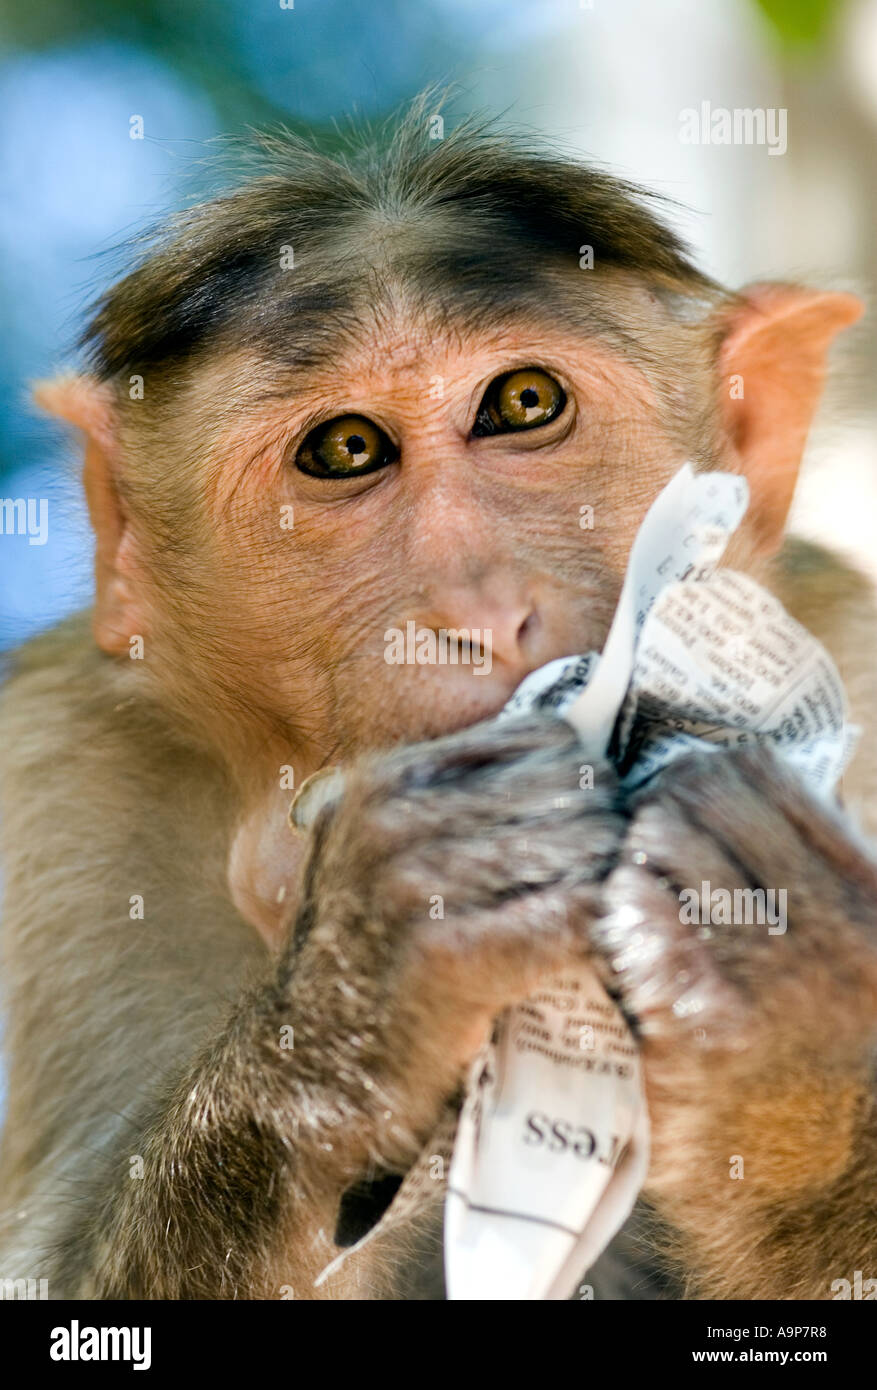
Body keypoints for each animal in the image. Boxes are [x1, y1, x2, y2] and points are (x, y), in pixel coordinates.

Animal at [1, 103, 876, 1301]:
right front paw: (354, 996)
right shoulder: (47, 786)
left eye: (523, 403)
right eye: (346, 449)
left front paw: (784, 1033)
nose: (477, 610)